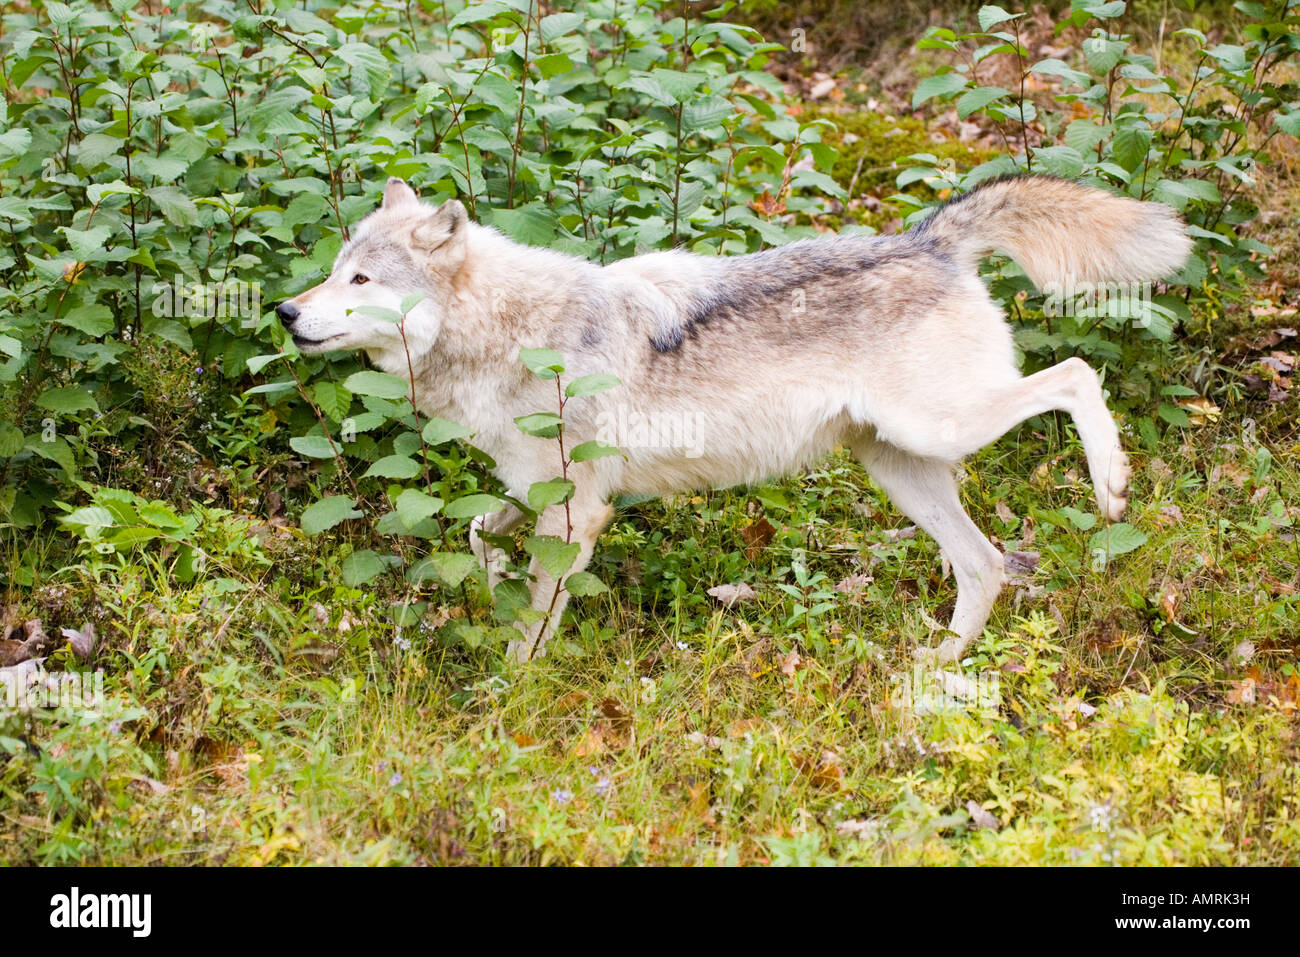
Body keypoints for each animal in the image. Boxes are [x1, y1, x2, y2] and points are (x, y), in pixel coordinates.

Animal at [276, 175, 1190, 664]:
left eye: (360, 280)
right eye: (333, 270)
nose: (285, 311)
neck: (514, 330)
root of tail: (926, 238)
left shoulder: (578, 511)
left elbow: (535, 621)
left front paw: (514, 686)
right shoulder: (535, 494)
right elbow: (477, 538)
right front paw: (497, 587)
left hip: (942, 429)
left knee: (1075, 376)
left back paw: (1112, 486)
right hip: (901, 468)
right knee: (988, 562)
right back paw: (938, 665)